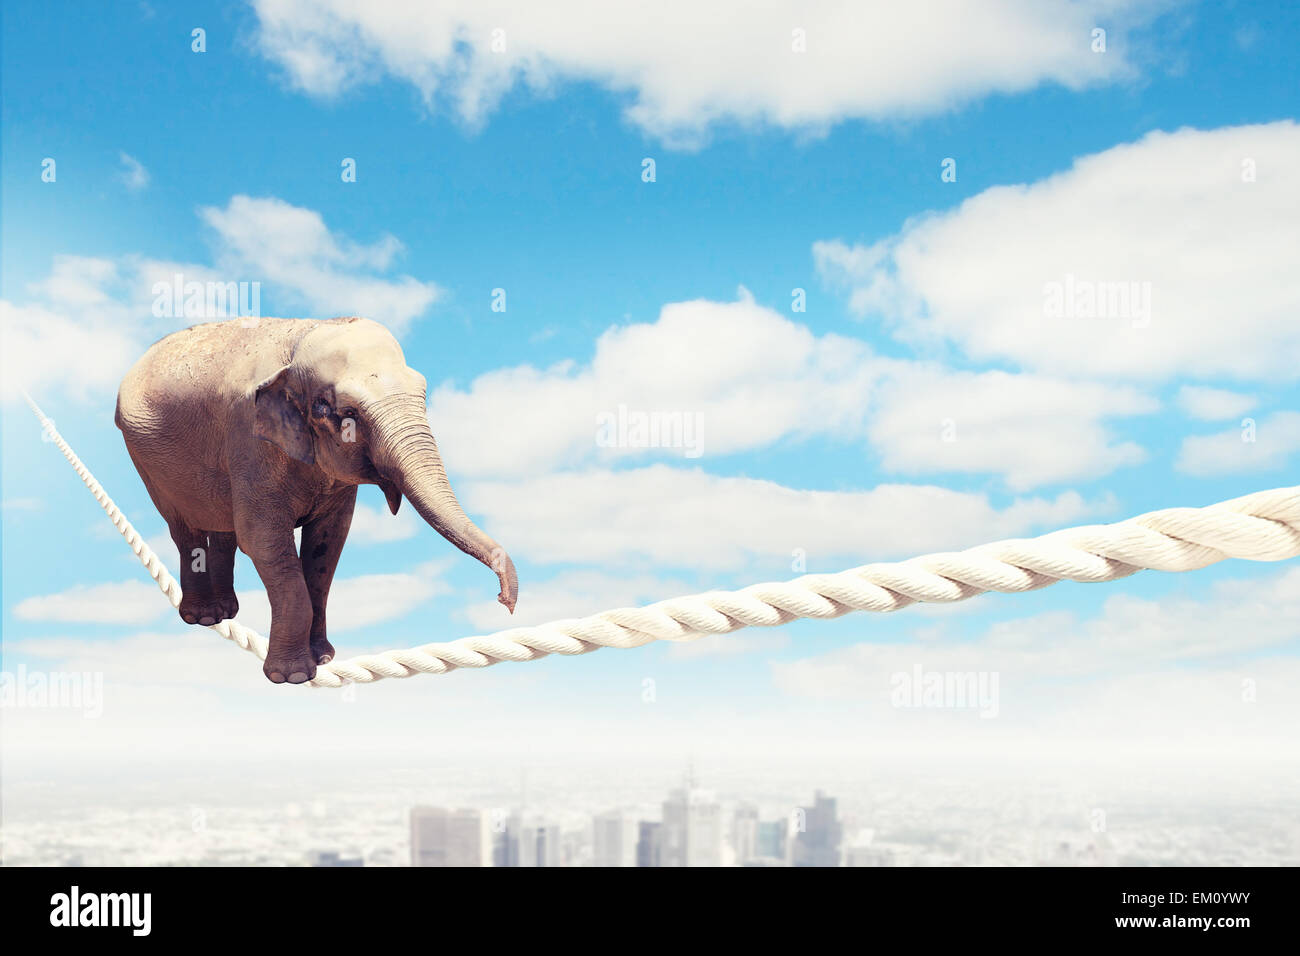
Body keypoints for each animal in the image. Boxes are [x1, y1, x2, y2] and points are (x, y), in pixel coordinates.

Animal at [114, 316, 517, 684]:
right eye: (346, 413)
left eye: (423, 394)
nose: (505, 601)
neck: (302, 339)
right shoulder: (249, 442)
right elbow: (262, 541)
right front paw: (291, 676)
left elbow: (328, 543)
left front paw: (322, 658)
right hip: (146, 460)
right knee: (184, 528)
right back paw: (205, 617)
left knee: (222, 528)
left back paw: (227, 612)